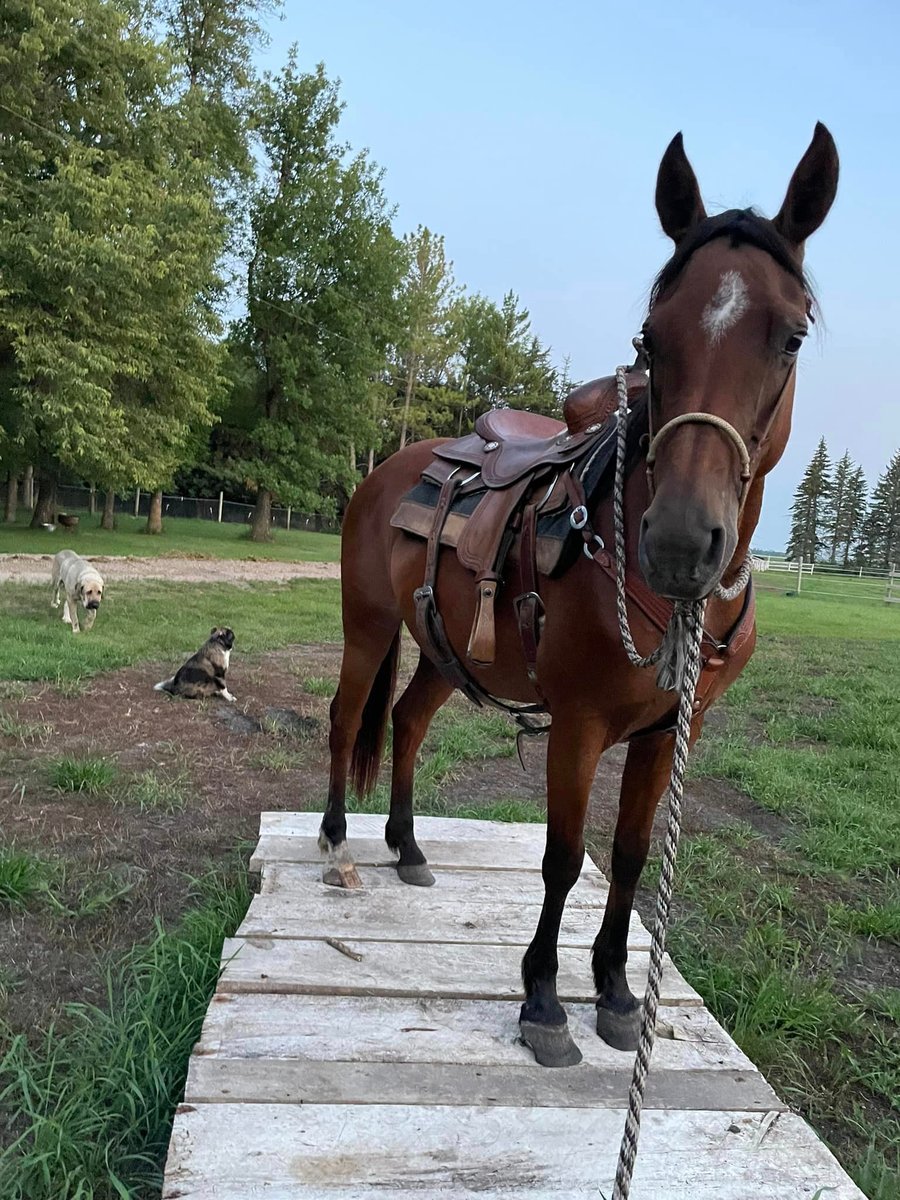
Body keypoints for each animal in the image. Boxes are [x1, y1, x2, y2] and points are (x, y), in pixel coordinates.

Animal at [318, 124, 839, 1068]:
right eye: (650, 336)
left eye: (790, 337)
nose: (680, 544)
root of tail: (390, 466)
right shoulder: (581, 724)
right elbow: (563, 857)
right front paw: (543, 1003)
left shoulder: (667, 733)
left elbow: (628, 855)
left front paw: (616, 991)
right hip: (367, 625)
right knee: (346, 719)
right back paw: (338, 841)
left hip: (445, 648)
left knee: (407, 720)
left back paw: (407, 846)